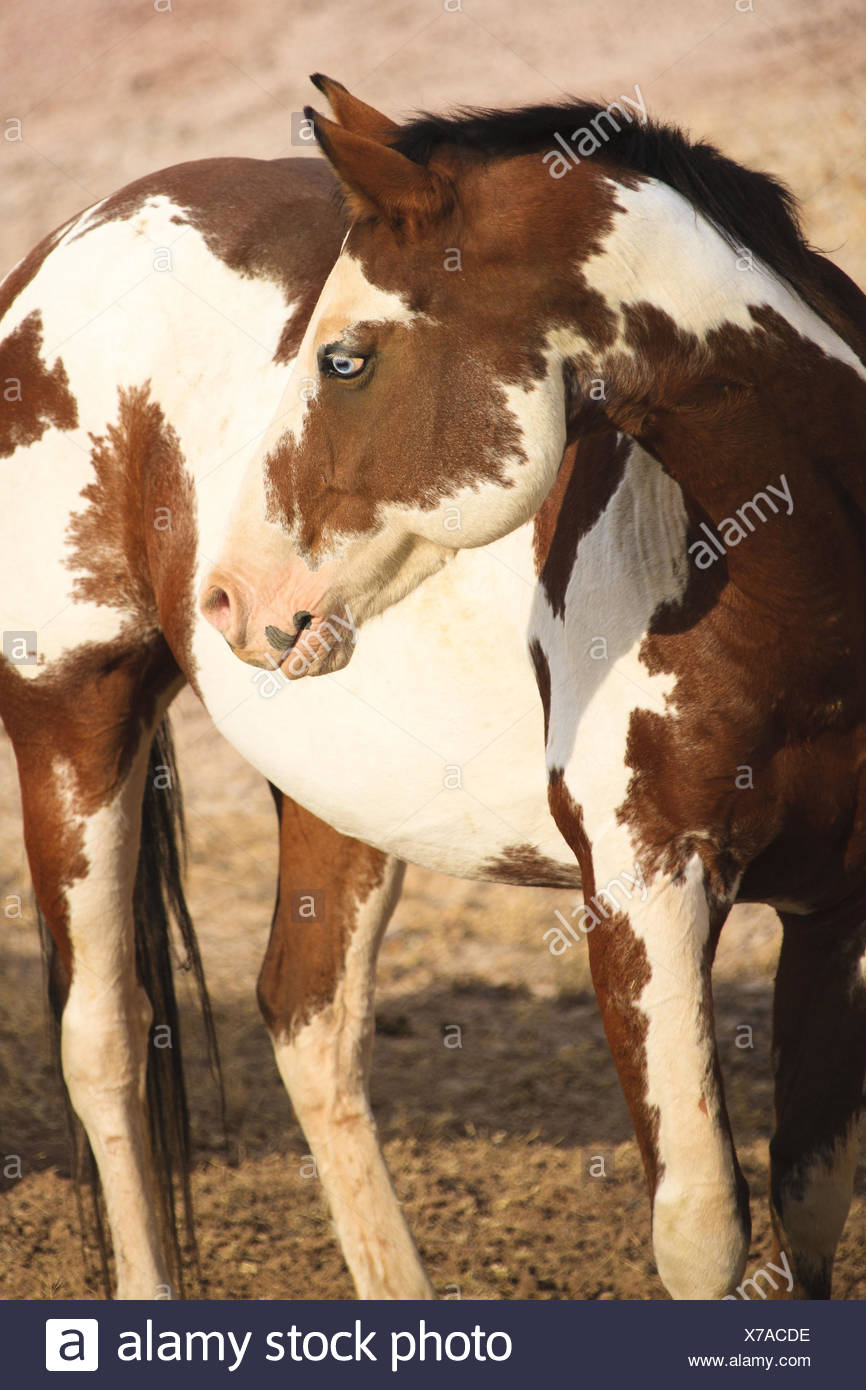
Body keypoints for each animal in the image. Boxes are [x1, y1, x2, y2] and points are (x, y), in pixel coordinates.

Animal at [203, 76, 866, 1300]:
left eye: (344, 359)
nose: (229, 595)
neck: (805, 607)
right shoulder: (642, 893)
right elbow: (702, 1224)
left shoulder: (838, 907)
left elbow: (806, 1209)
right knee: (101, 1036)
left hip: (331, 810)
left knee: (309, 1020)